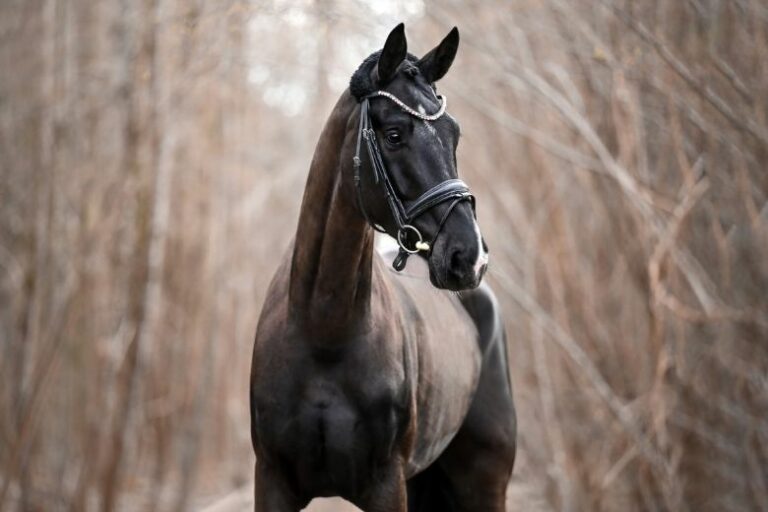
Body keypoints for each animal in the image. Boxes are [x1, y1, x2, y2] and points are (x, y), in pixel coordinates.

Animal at [250, 23, 516, 511]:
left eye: (454, 134)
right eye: (393, 134)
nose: (470, 257)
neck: (323, 331)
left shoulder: (386, 485)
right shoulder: (272, 481)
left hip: (484, 481)